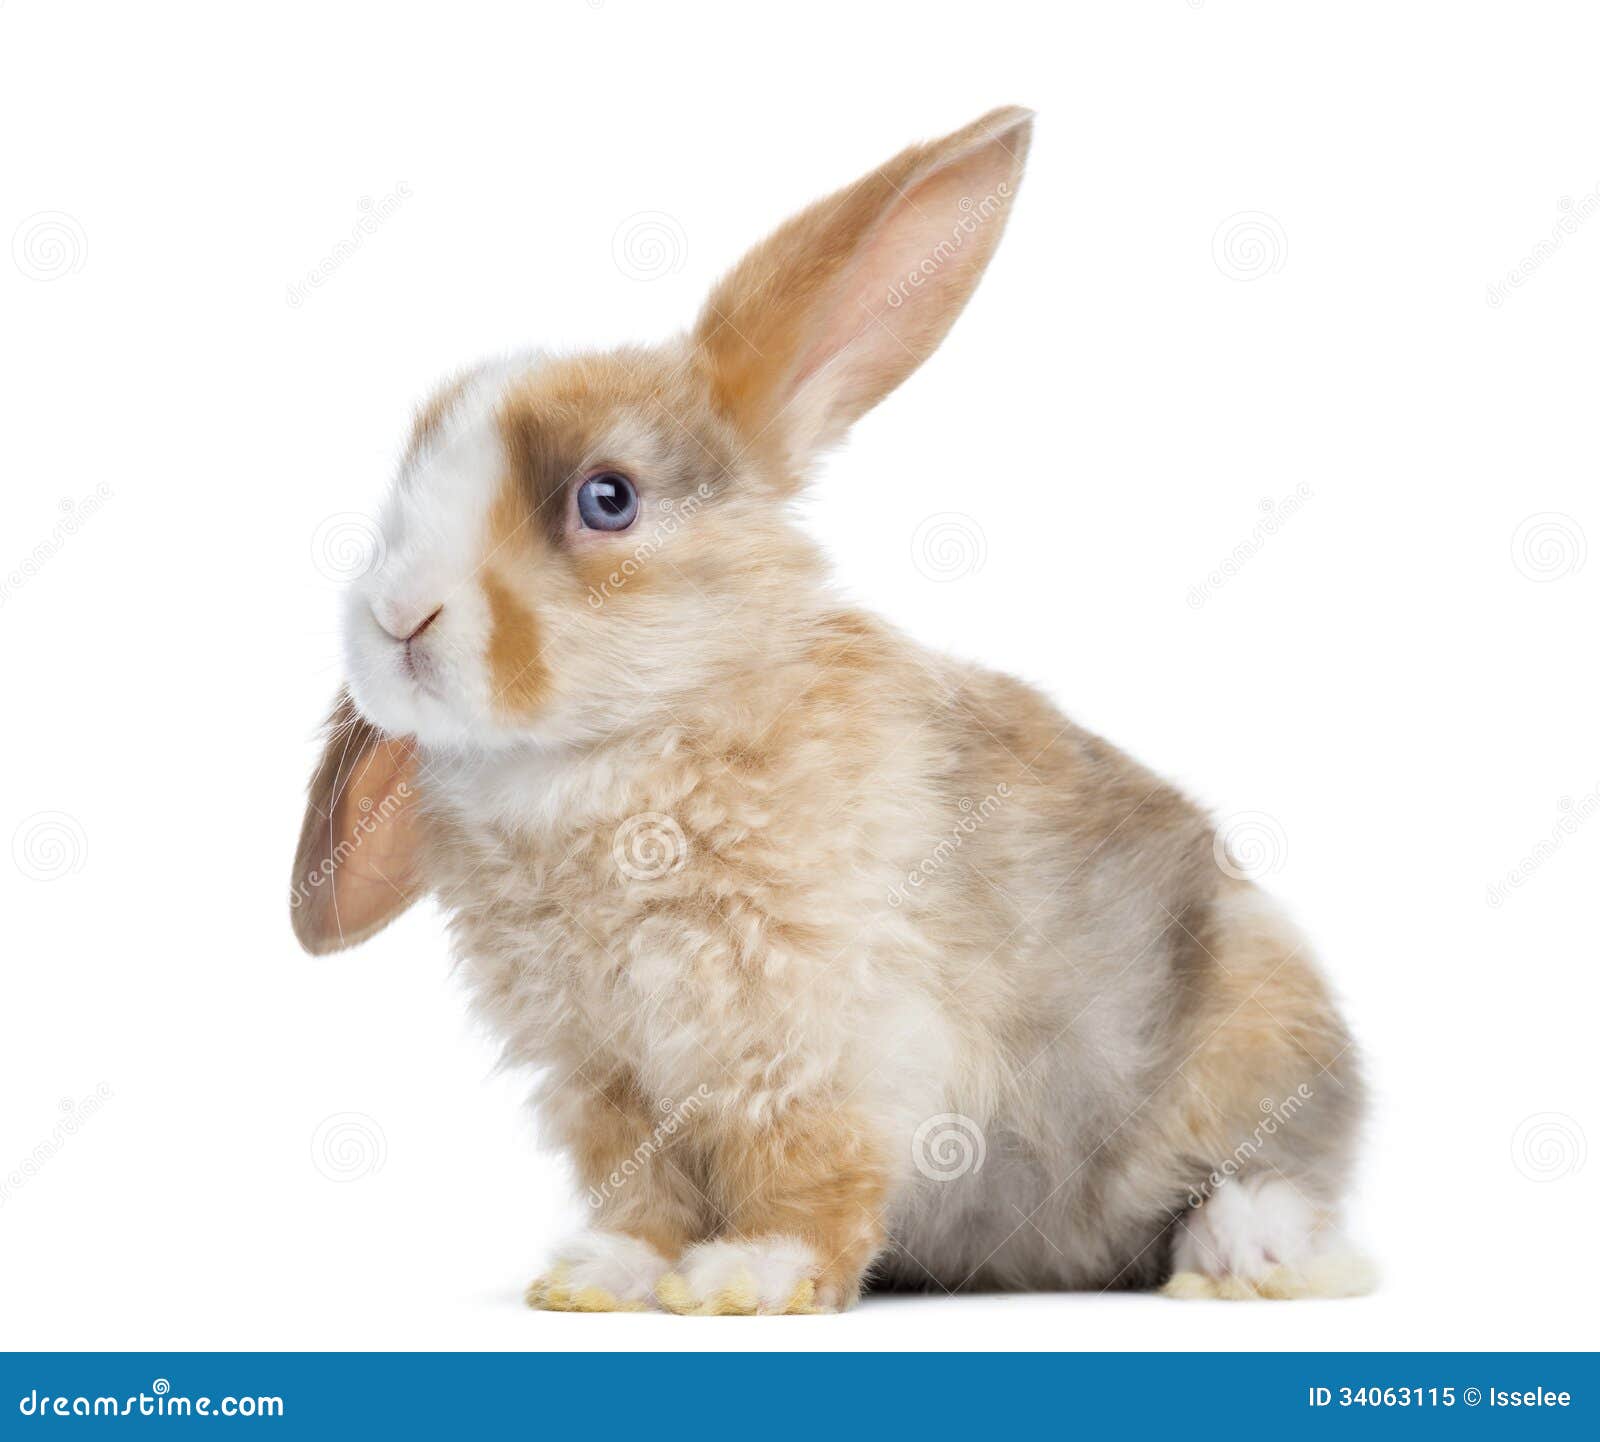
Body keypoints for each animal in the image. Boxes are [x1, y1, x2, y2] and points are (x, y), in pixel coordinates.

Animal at [290, 106, 1368, 1314]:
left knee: (1281, 1169)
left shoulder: (818, 1042)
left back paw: (1240, 1257)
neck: (617, 744)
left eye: (607, 499)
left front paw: (747, 1279)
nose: (397, 617)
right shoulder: (604, 1073)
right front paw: (605, 1276)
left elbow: (806, 1171)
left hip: (1257, 1031)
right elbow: (644, 1186)